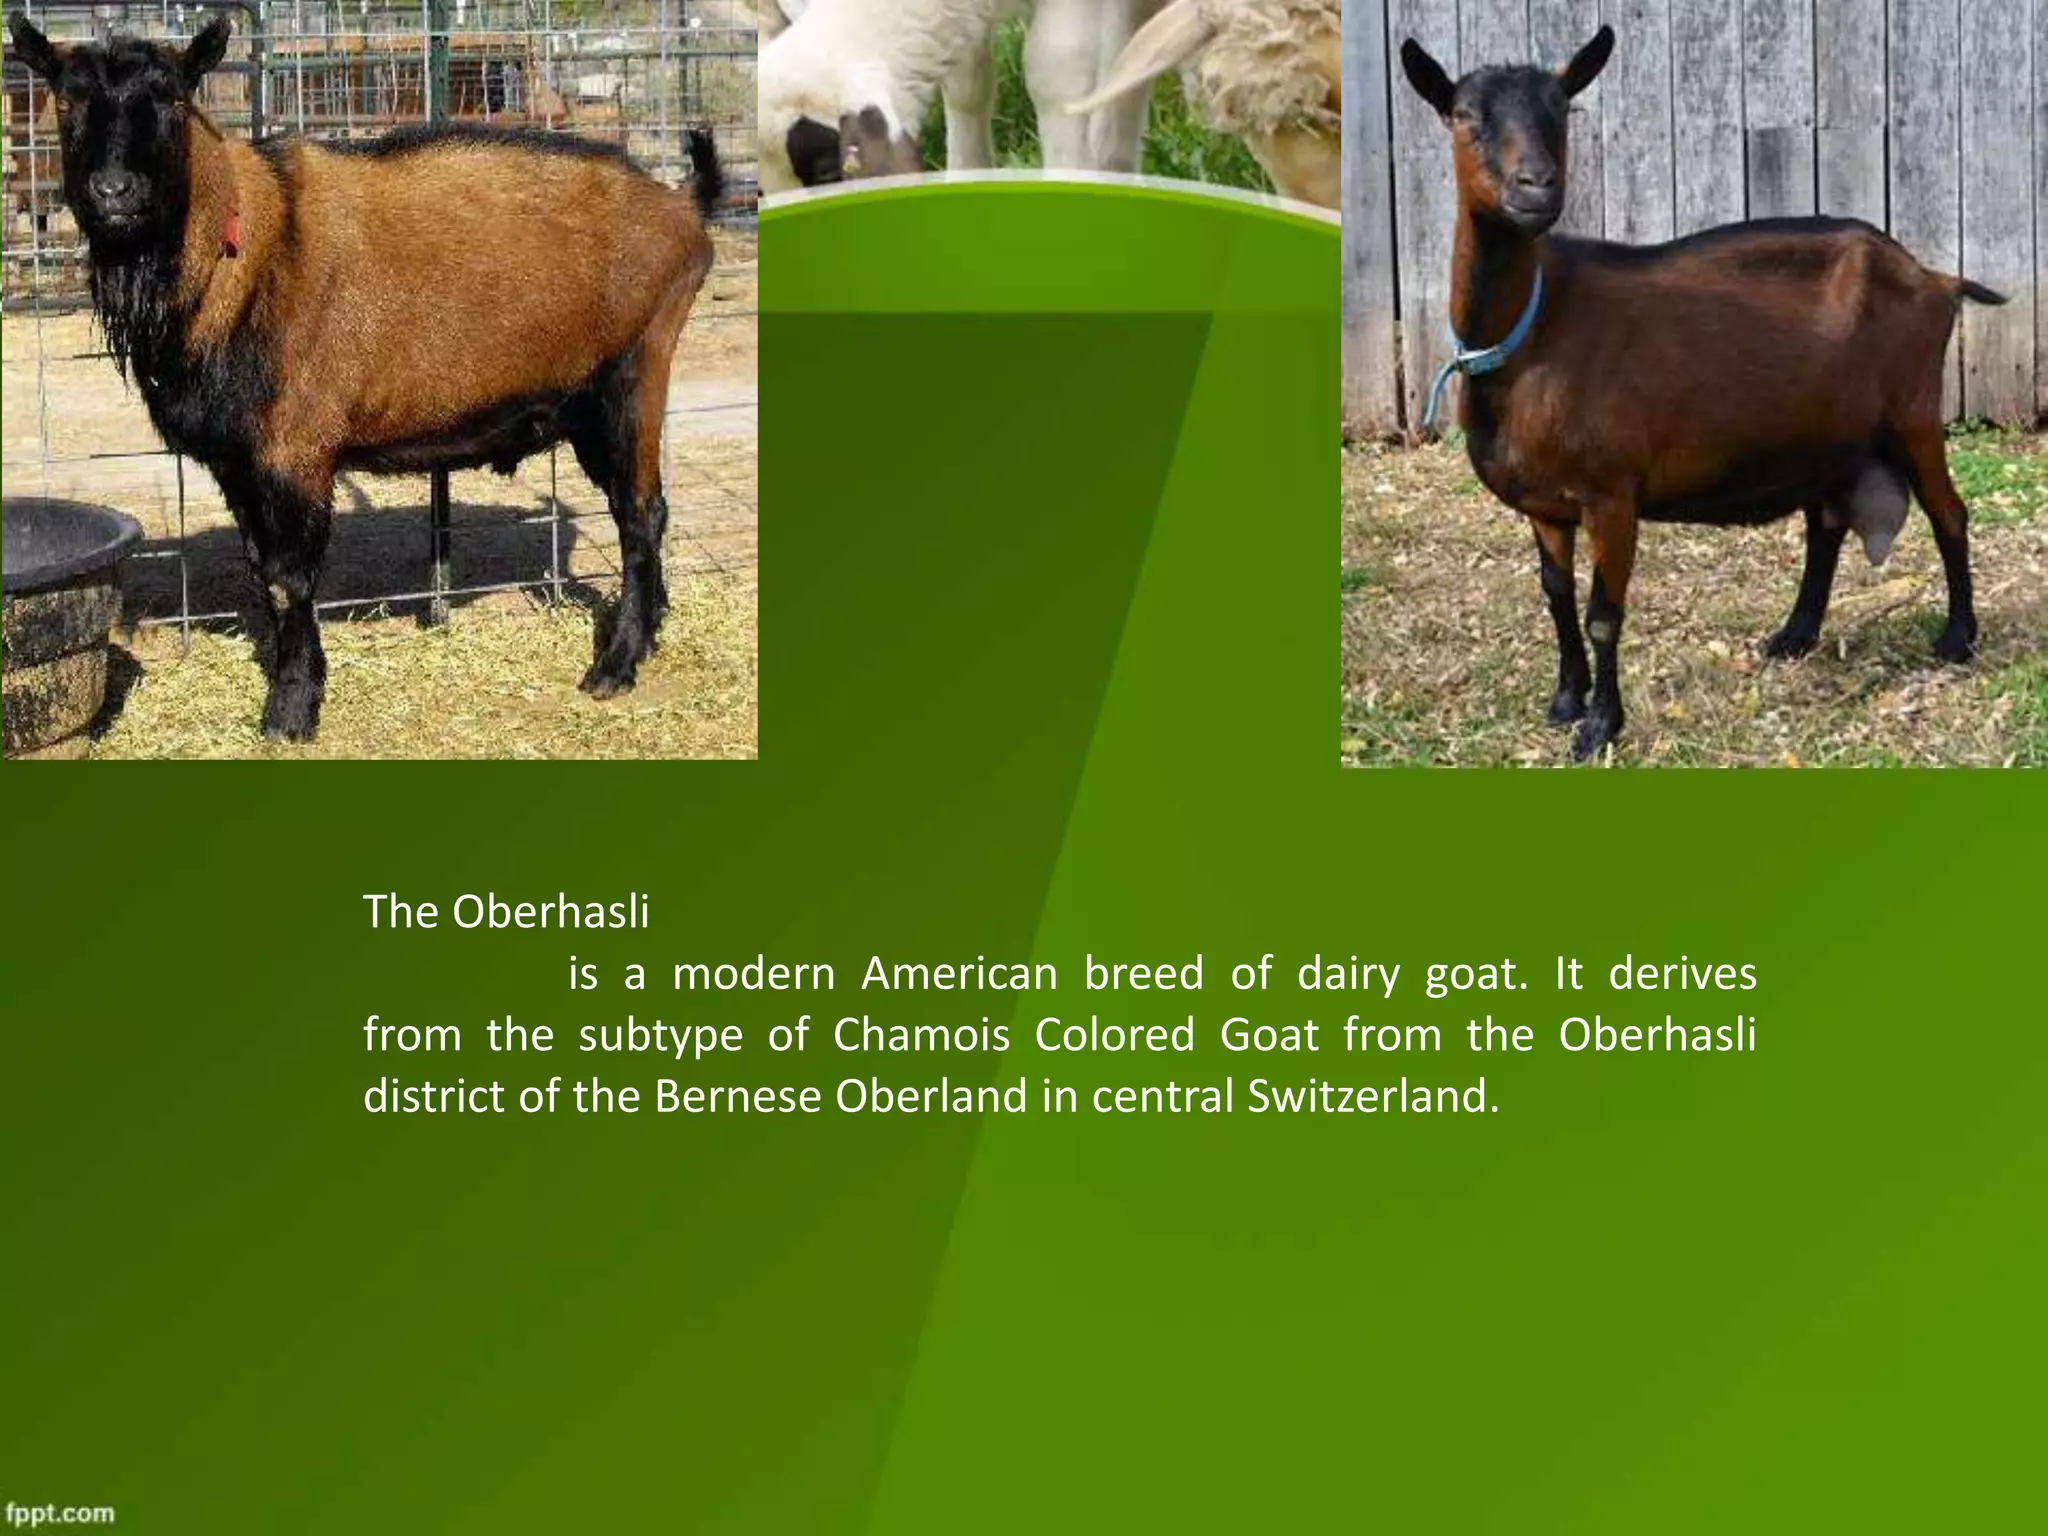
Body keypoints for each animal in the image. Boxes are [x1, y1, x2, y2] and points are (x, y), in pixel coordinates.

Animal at [8, 13, 720, 741]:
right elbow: (262, 571)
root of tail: (680, 209)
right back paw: (648, 633)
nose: (113, 192)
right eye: (65, 100)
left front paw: (292, 708)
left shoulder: (295, 449)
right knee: (644, 513)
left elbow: (290, 578)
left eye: (173, 97)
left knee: (640, 515)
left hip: (633, 375)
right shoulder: (238, 461)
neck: (244, 251)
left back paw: (616, 663)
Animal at [1397, 26, 2002, 762]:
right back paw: (1794, 635)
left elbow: (1602, 614)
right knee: (1827, 523)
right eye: (1464, 115)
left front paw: (1600, 727)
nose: (1536, 185)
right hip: (1830, 433)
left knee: (1949, 513)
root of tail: (1934, 278)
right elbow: (1556, 597)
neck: (1532, 331)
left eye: (1563, 109)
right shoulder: (1546, 506)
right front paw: (1565, 702)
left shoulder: (1612, 492)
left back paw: (1956, 638)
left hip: (1914, 409)